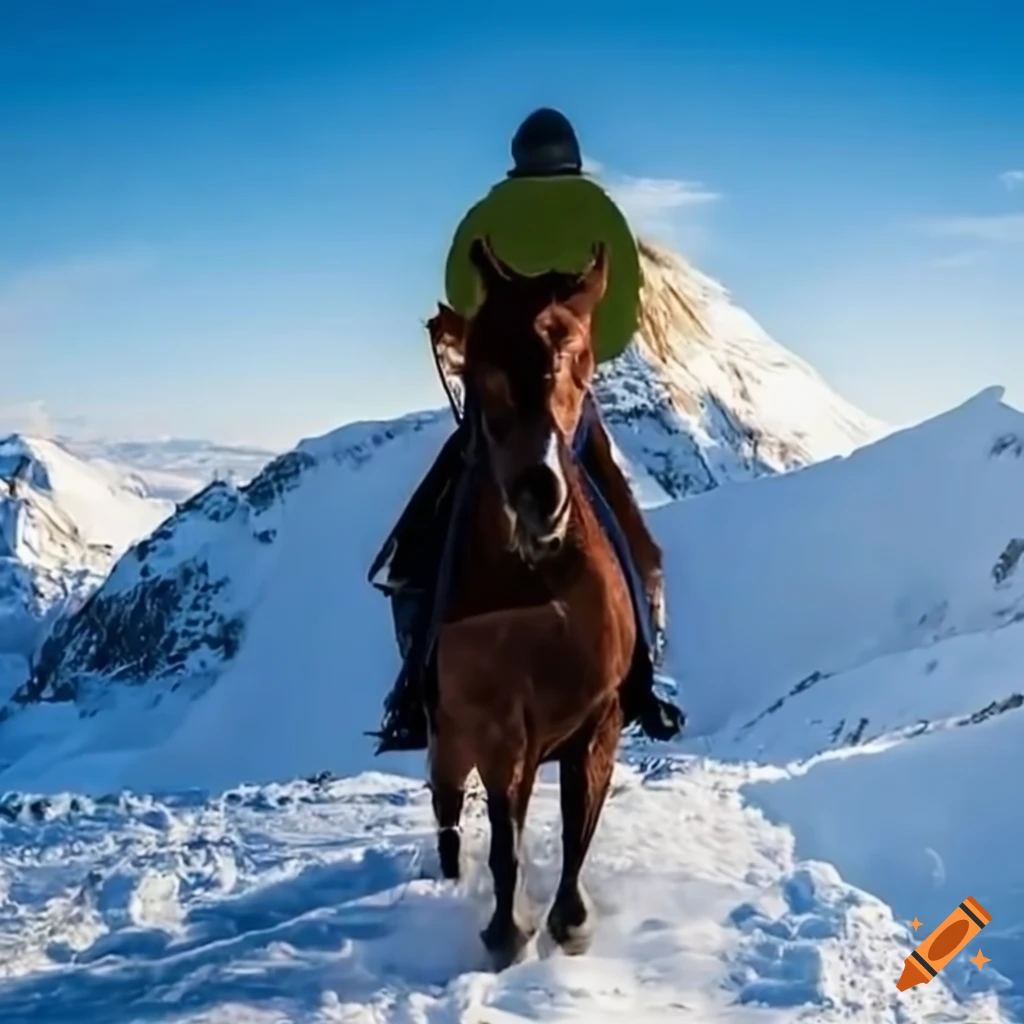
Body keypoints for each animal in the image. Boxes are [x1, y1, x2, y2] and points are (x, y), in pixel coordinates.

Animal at [424, 238, 640, 967]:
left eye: (580, 357)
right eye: (480, 366)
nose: (537, 497)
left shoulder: (598, 717)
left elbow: (579, 824)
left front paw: (570, 921)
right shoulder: (496, 724)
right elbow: (504, 838)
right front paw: (505, 930)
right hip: (449, 738)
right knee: (450, 813)